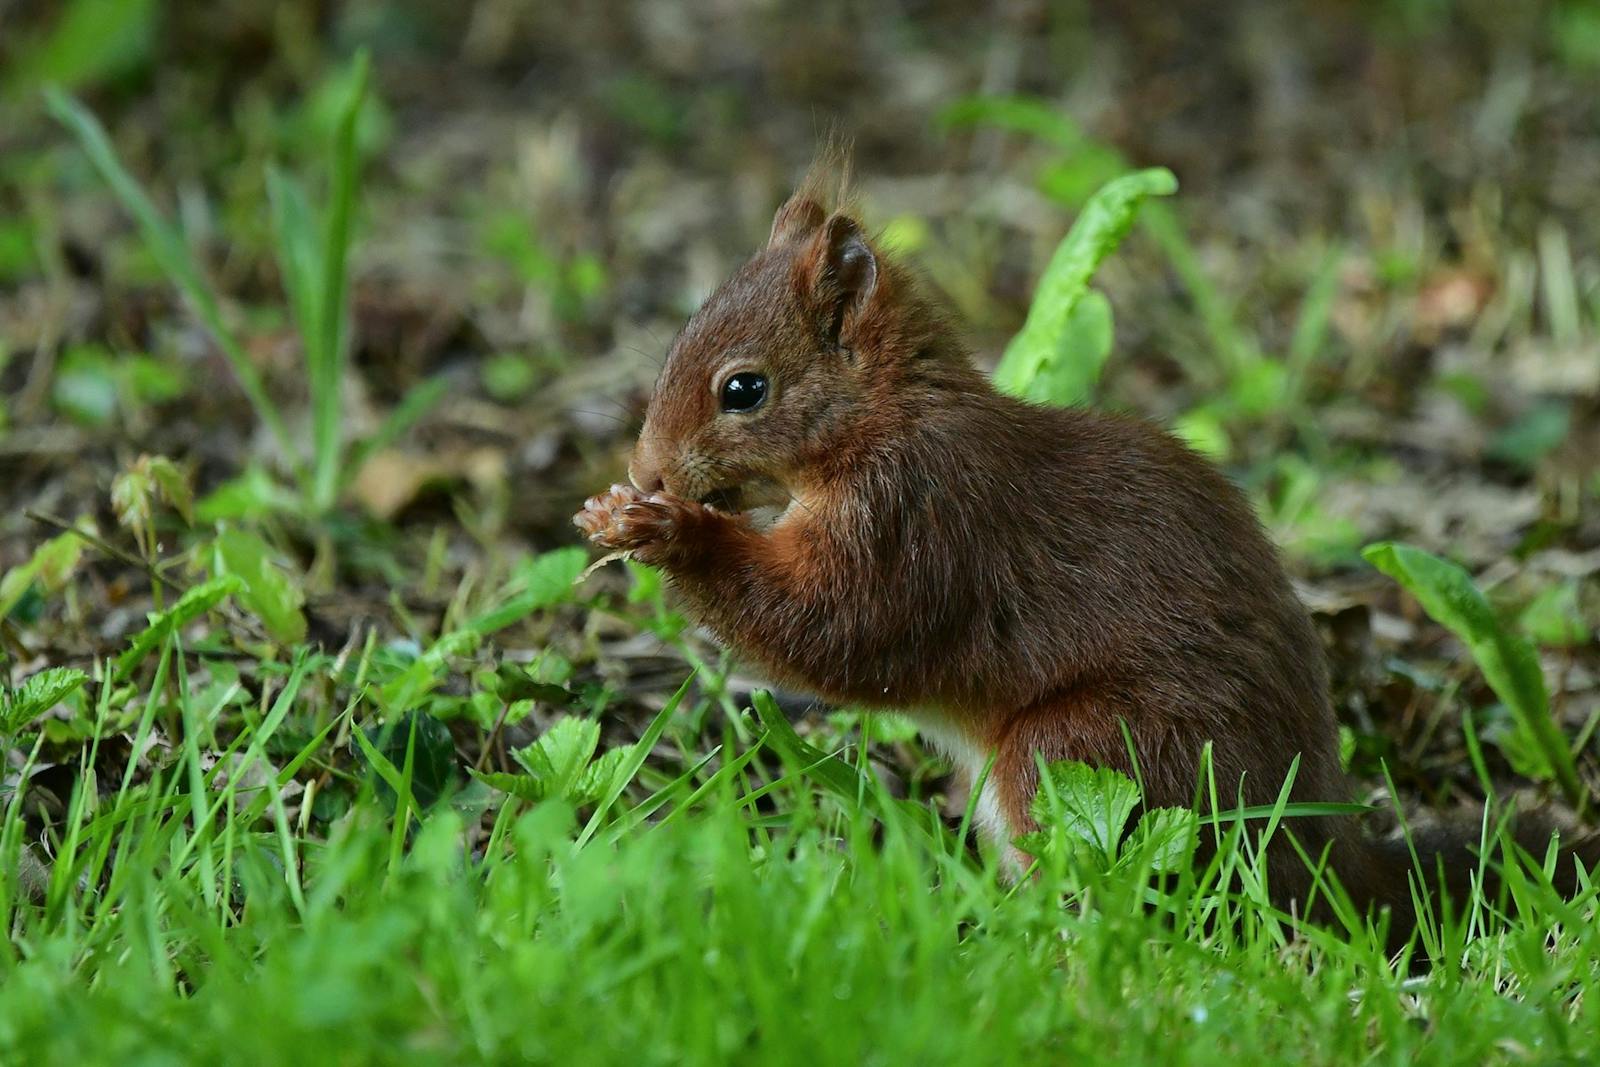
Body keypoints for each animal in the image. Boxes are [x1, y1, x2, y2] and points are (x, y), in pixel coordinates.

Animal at [574, 171, 1597, 944]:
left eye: (744, 389)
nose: (647, 468)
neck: (889, 417)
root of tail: (1325, 857)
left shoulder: (918, 516)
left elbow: (839, 626)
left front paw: (670, 530)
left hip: (1089, 752)